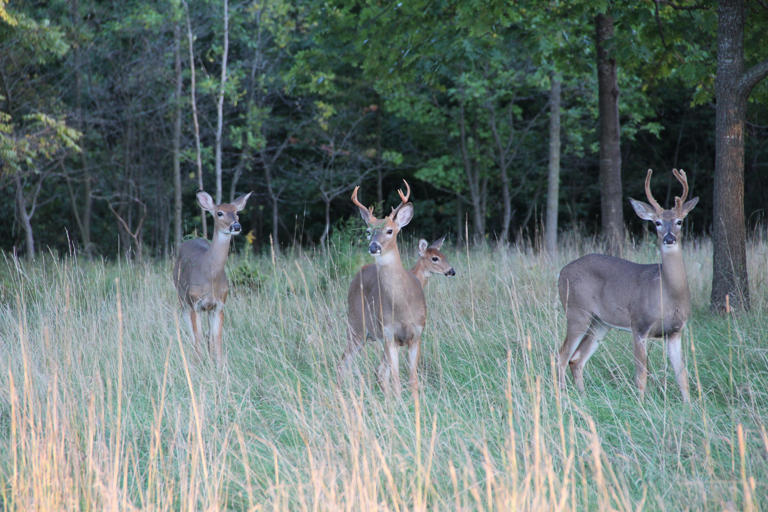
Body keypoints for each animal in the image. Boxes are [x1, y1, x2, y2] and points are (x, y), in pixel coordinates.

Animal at [173, 190, 251, 366]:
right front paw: (198, 363)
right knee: (190, 333)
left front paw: (219, 366)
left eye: (237, 212)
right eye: (219, 213)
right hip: (182, 299)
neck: (210, 276)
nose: (236, 226)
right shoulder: (195, 303)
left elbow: (216, 337)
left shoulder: (219, 305)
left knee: (208, 336)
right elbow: (198, 336)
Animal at [338, 180, 427, 395]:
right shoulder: (389, 334)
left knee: (377, 371)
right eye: (368, 231)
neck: (403, 306)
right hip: (356, 325)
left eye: (390, 230)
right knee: (344, 362)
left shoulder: (417, 334)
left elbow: (412, 379)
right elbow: (396, 380)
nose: (374, 247)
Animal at [557, 169, 698, 402]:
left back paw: (583, 396)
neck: (668, 293)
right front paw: (641, 404)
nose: (669, 238)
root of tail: (561, 272)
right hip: (576, 311)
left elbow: (682, 374)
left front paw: (689, 406)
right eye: (657, 223)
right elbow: (641, 374)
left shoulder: (675, 331)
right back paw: (560, 395)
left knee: (576, 359)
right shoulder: (639, 325)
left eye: (679, 221)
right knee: (561, 355)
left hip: (600, 323)